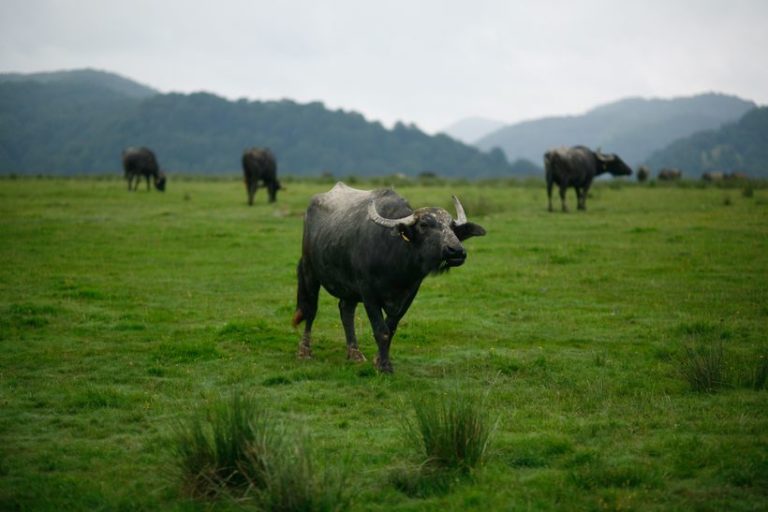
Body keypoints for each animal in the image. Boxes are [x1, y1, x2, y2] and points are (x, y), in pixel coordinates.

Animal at [292, 182, 486, 373]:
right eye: (424, 224)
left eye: (452, 227)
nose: (456, 251)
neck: (396, 261)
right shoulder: (369, 294)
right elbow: (381, 330)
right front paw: (385, 366)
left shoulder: (409, 294)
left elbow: (391, 328)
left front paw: (379, 360)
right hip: (309, 271)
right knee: (311, 310)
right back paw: (304, 351)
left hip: (349, 289)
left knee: (346, 311)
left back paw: (354, 353)